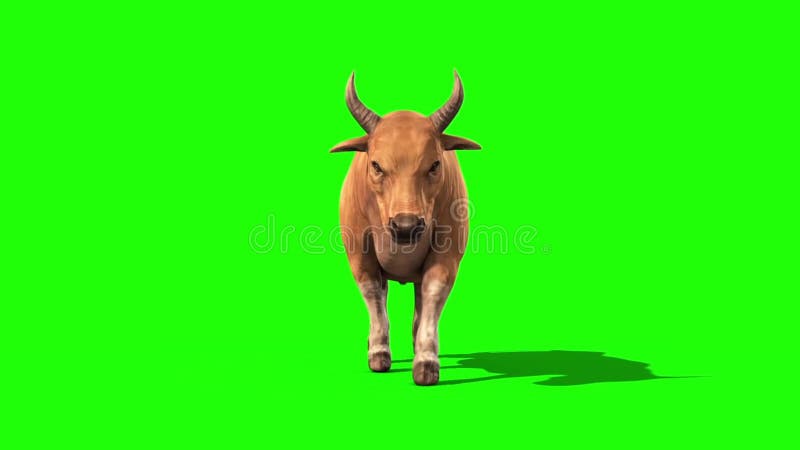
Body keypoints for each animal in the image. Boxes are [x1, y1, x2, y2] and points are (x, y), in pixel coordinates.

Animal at [330, 71, 481, 385]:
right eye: (376, 165)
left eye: (434, 164)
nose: (405, 226)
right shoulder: (360, 255)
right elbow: (374, 295)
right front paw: (378, 354)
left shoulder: (447, 254)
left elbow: (432, 294)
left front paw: (426, 362)